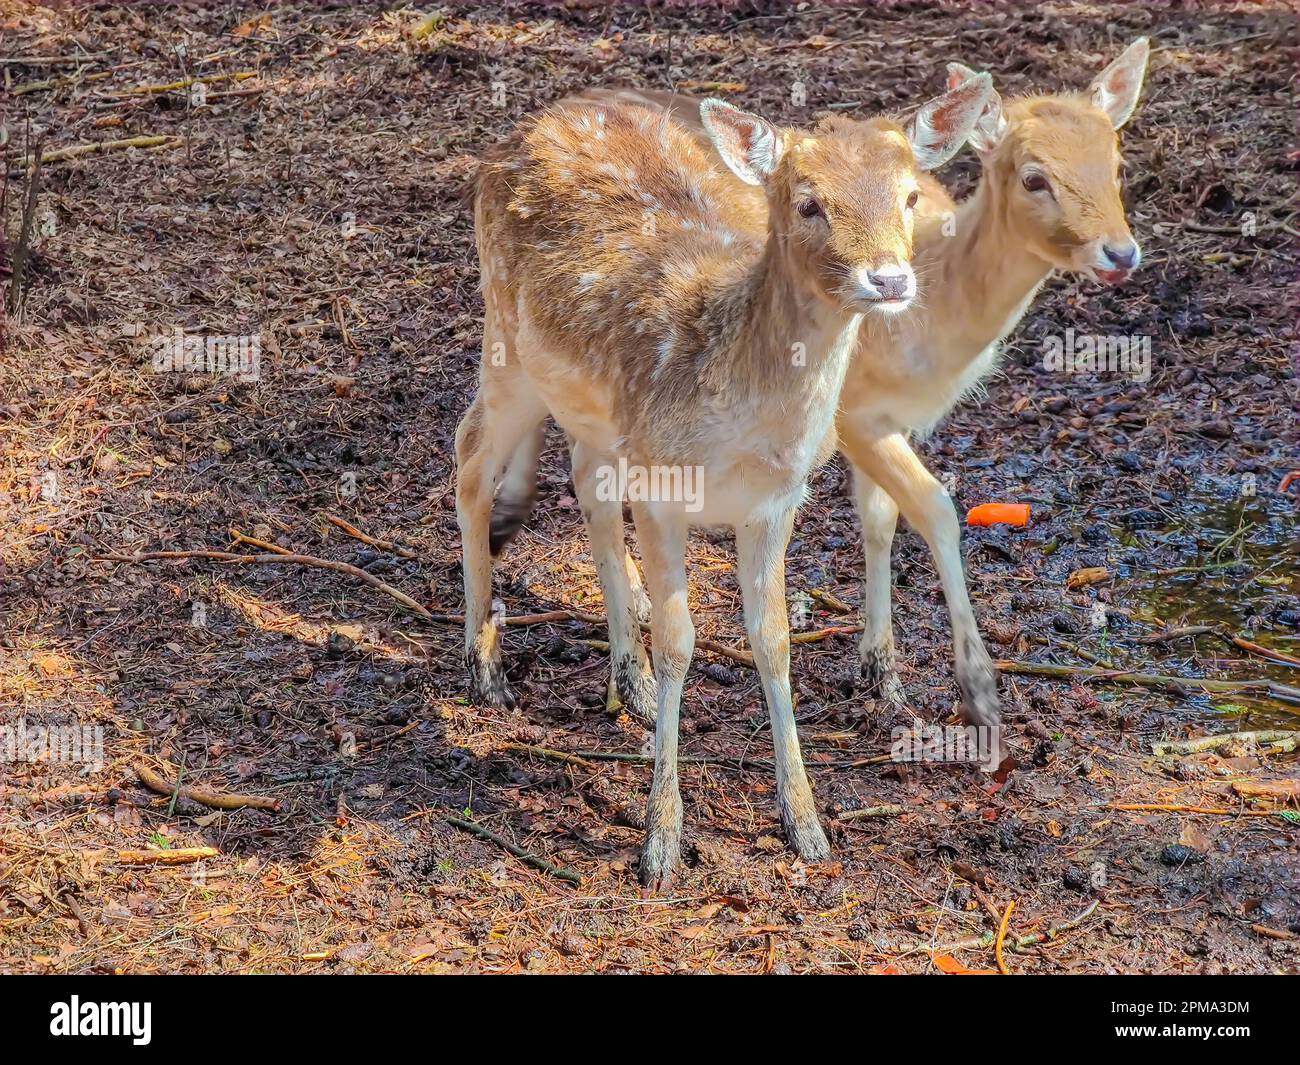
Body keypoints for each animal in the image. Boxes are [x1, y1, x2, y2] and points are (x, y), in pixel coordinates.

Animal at [458, 77, 994, 888]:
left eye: (909, 195)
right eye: (808, 203)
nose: (890, 279)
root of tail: (520, 133)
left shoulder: (775, 502)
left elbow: (772, 639)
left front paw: (806, 825)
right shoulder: (661, 487)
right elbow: (683, 640)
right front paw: (660, 844)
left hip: (589, 406)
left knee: (584, 479)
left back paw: (630, 681)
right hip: (507, 339)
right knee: (468, 458)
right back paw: (486, 666)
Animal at [569, 38, 1151, 761]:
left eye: (1119, 164)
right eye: (1034, 177)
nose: (1120, 253)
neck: (932, 341)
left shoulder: (885, 419)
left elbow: (881, 517)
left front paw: (882, 671)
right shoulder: (853, 414)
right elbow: (936, 506)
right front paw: (977, 694)